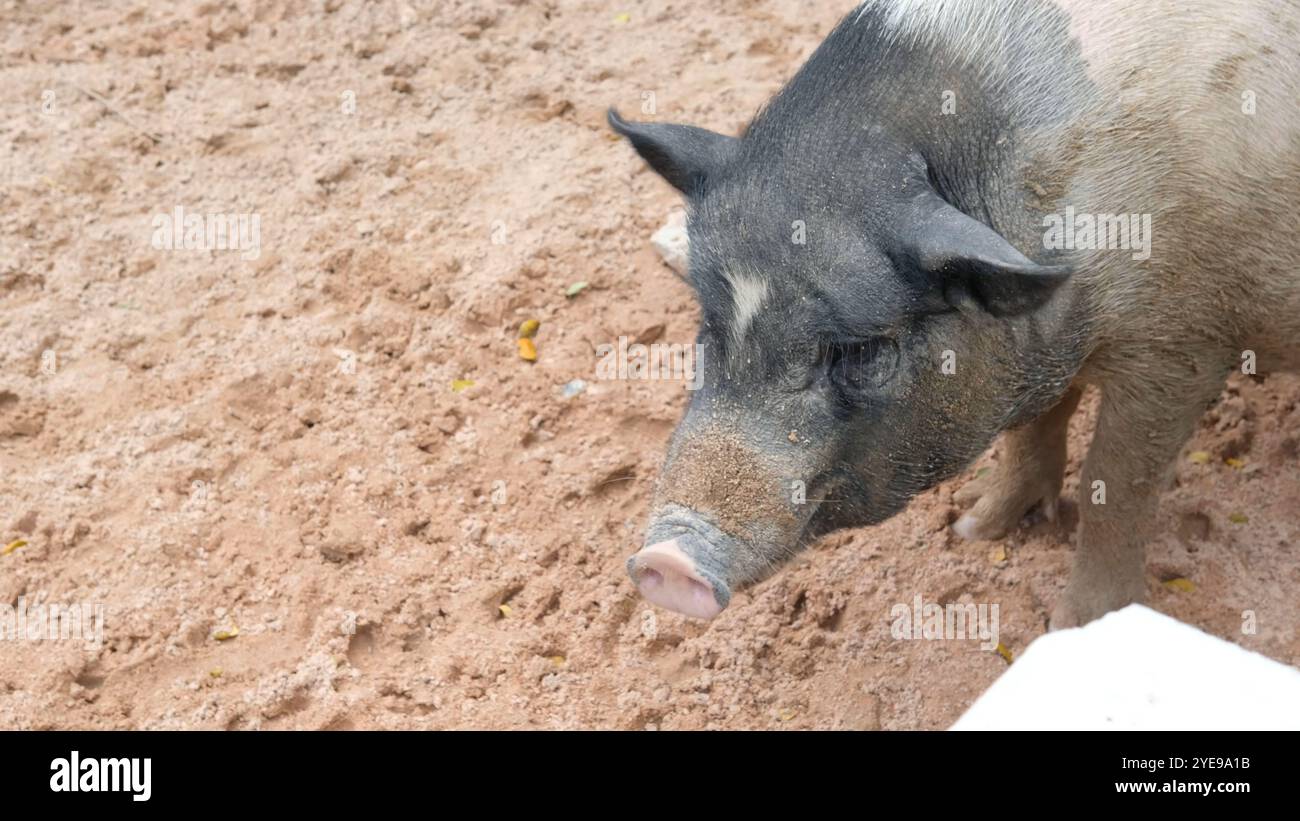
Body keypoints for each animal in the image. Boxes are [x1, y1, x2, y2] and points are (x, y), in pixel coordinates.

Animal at [610, 0, 1300, 627]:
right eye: (710, 324)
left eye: (863, 351)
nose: (667, 561)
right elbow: (1031, 430)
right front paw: (971, 527)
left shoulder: (1185, 343)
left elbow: (1116, 482)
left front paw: (1073, 627)